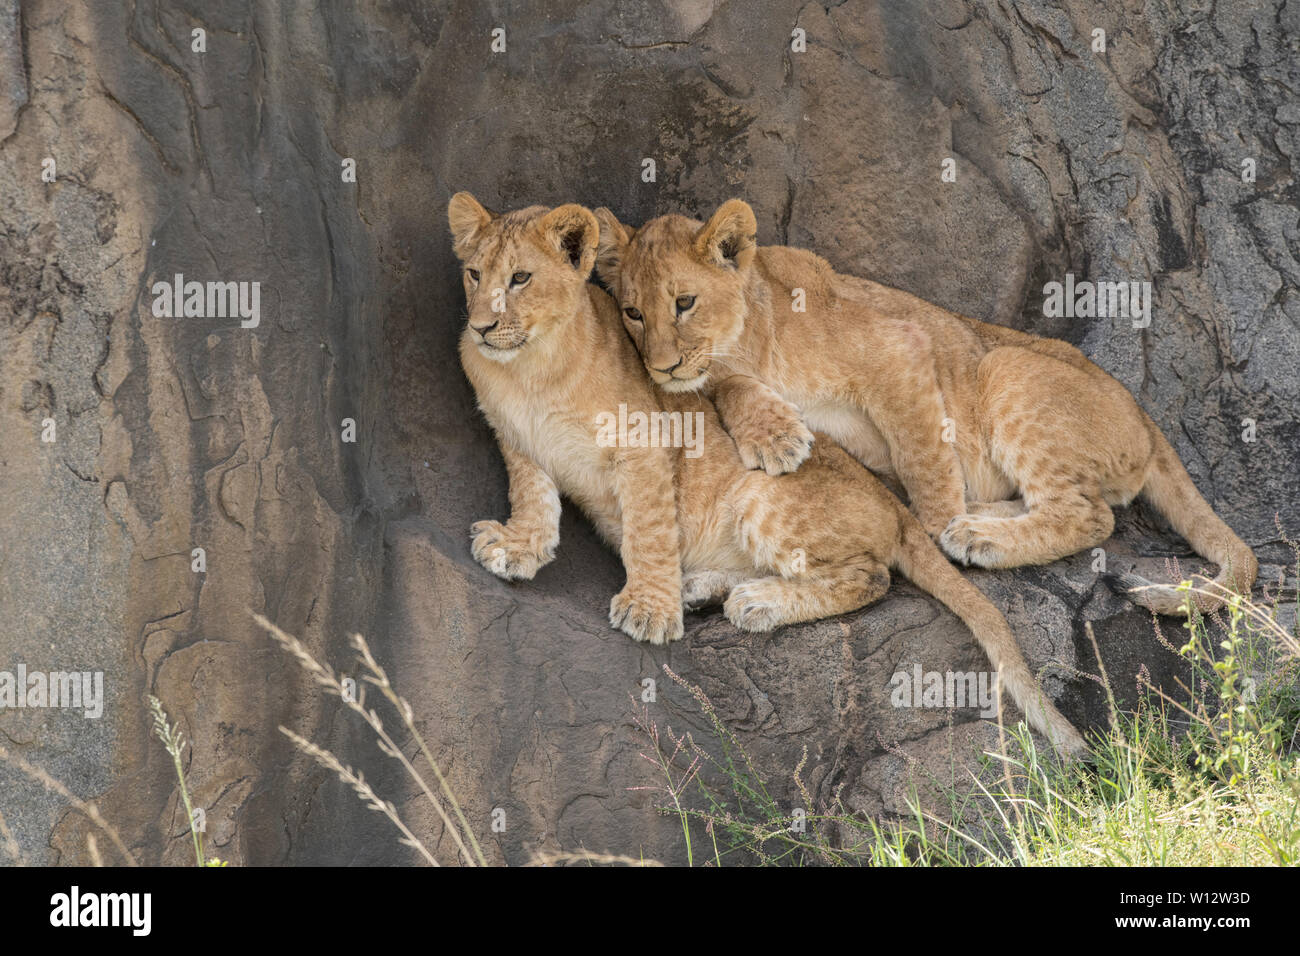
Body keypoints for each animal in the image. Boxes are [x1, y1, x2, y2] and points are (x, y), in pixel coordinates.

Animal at [448, 192, 1087, 755]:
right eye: (475, 274)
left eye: (521, 278)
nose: (481, 327)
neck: (531, 371)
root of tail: (894, 504)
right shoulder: (517, 441)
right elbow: (532, 495)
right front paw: (516, 546)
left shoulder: (648, 440)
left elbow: (649, 525)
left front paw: (649, 610)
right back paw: (701, 587)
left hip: (762, 497)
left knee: (871, 577)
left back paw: (756, 602)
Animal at [593, 200, 1257, 616]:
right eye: (632, 312)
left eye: (684, 302)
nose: (660, 367)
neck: (752, 336)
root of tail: (1146, 418)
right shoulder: (722, 377)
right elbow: (727, 388)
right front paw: (773, 435)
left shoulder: (901, 349)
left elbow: (922, 459)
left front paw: (937, 533)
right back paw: (985, 516)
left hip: (1004, 367)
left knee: (1090, 516)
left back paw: (978, 536)